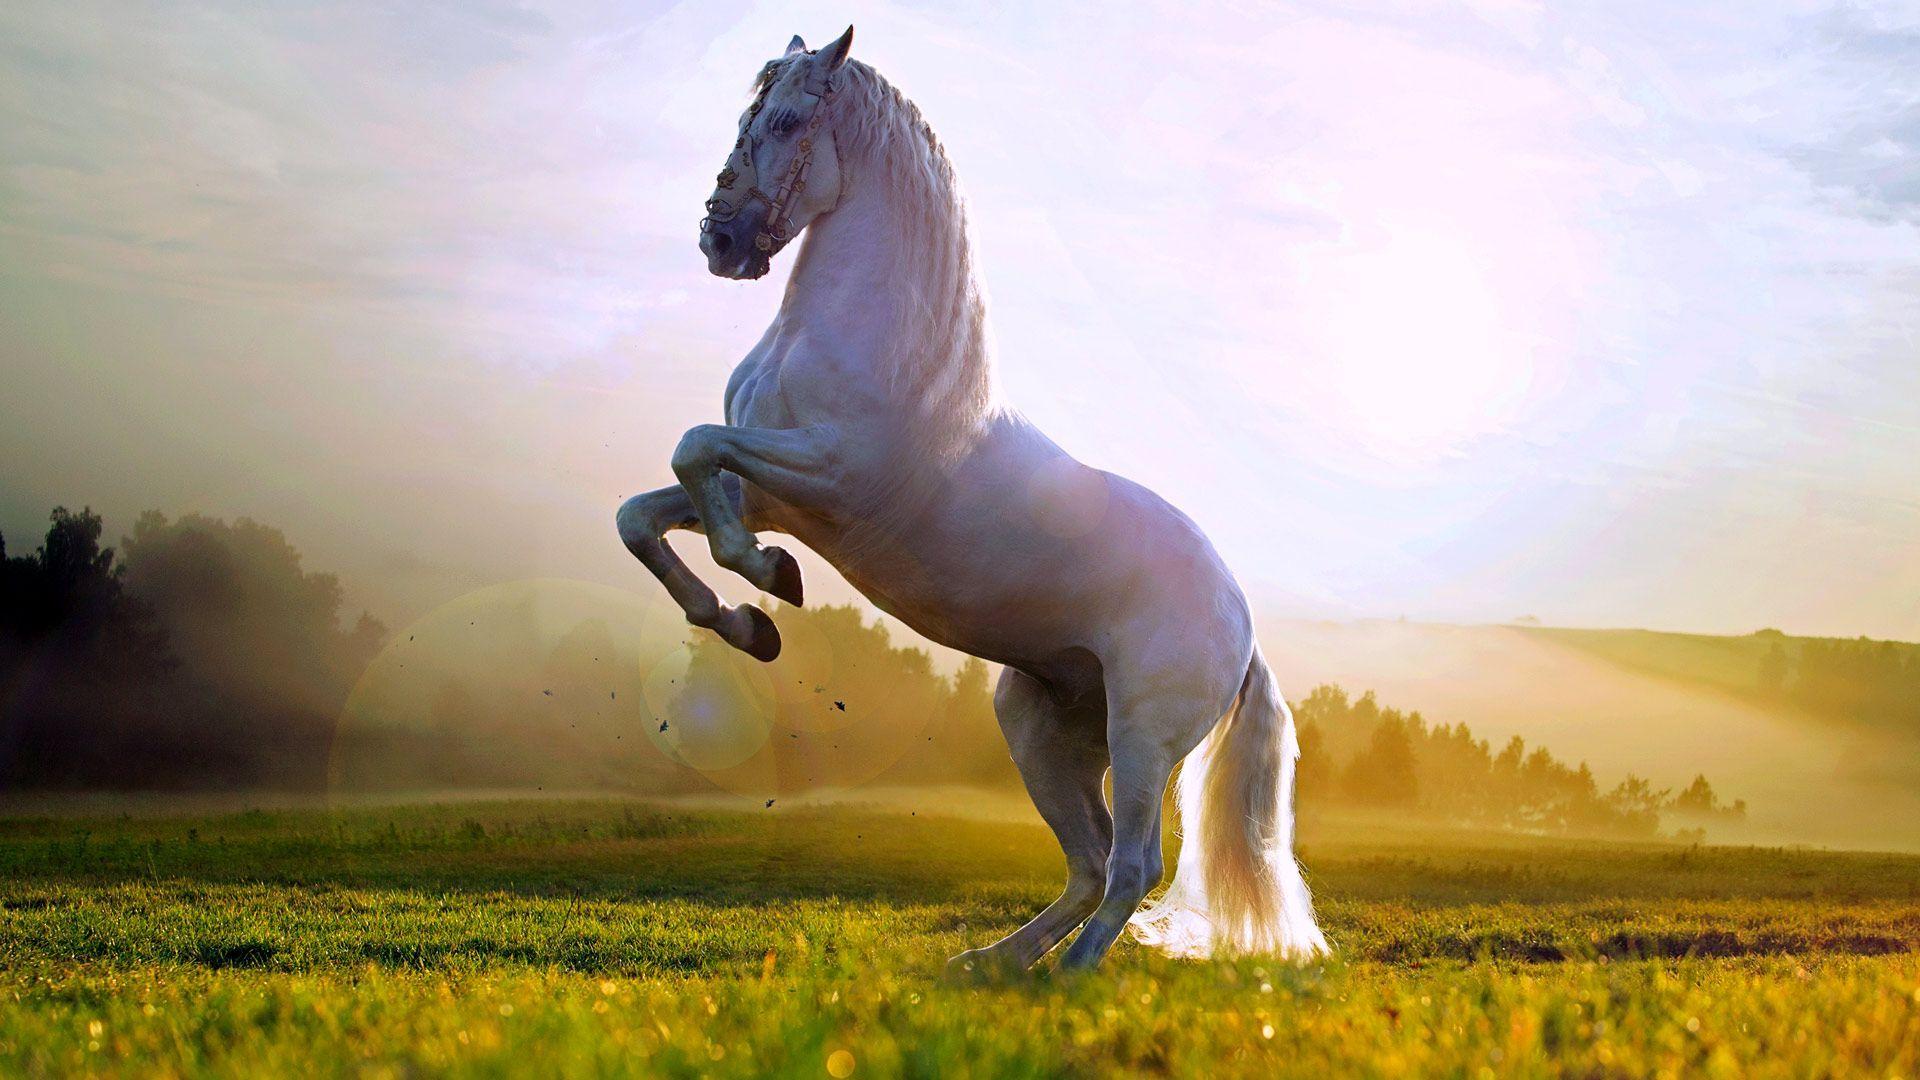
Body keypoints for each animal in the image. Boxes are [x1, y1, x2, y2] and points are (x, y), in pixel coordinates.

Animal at [617, 26, 1327, 973]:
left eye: (791, 119)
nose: (720, 239)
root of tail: (1240, 624)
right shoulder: (765, 491)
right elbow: (646, 511)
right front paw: (747, 623)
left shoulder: (827, 477)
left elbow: (695, 451)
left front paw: (769, 584)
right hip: (1040, 727)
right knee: (1090, 862)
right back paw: (992, 965)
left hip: (1142, 737)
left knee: (1133, 865)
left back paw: (1067, 979)